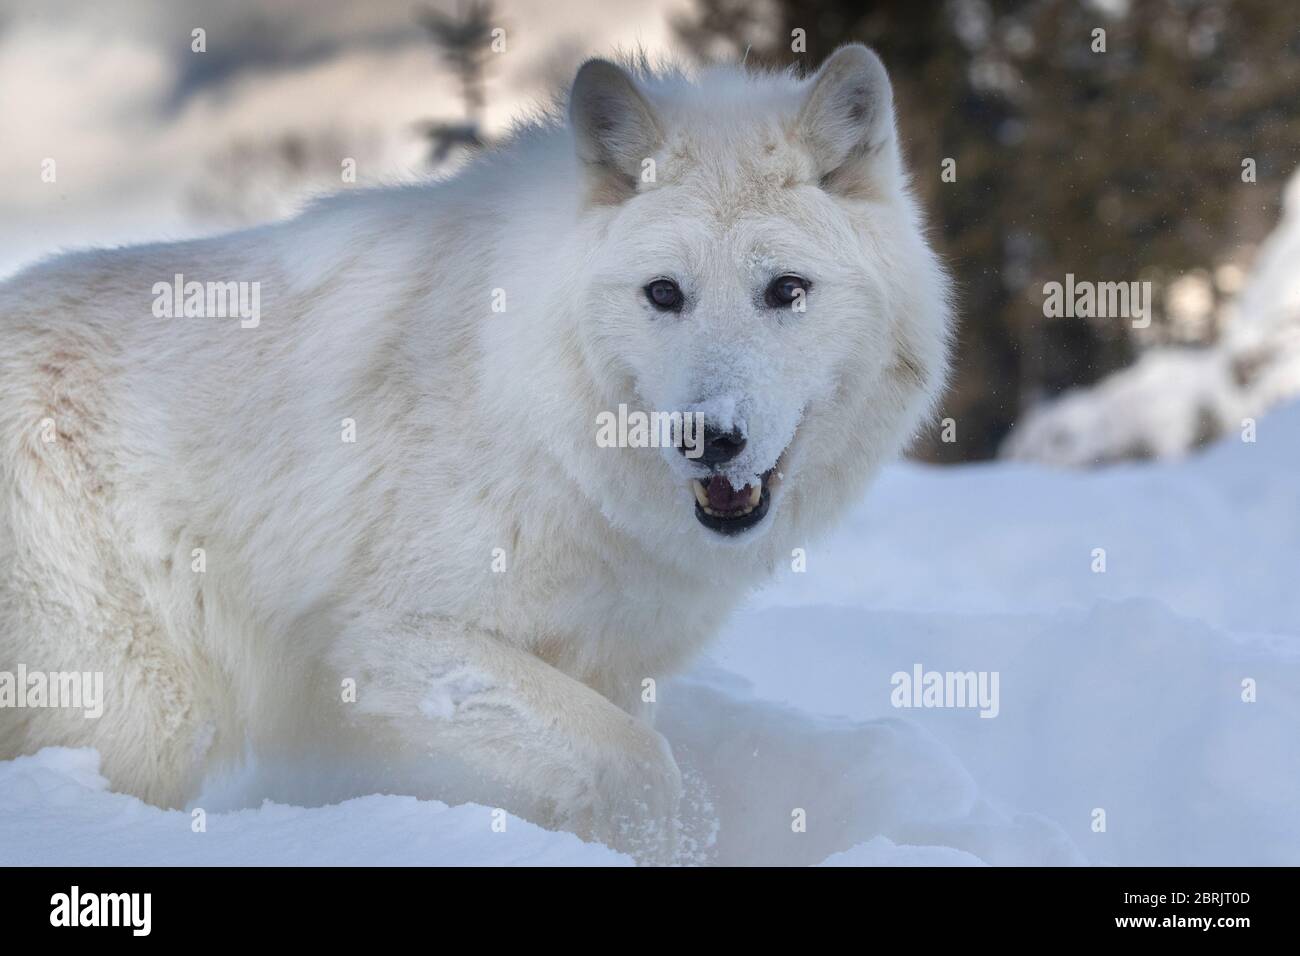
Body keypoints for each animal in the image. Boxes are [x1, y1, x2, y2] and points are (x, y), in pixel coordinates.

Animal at [0, 45, 950, 859]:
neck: (553, 432)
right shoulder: (399, 639)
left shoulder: (602, 666)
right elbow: (642, 769)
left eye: (786, 291)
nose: (708, 437)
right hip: (140, 717)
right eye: (664, 294)